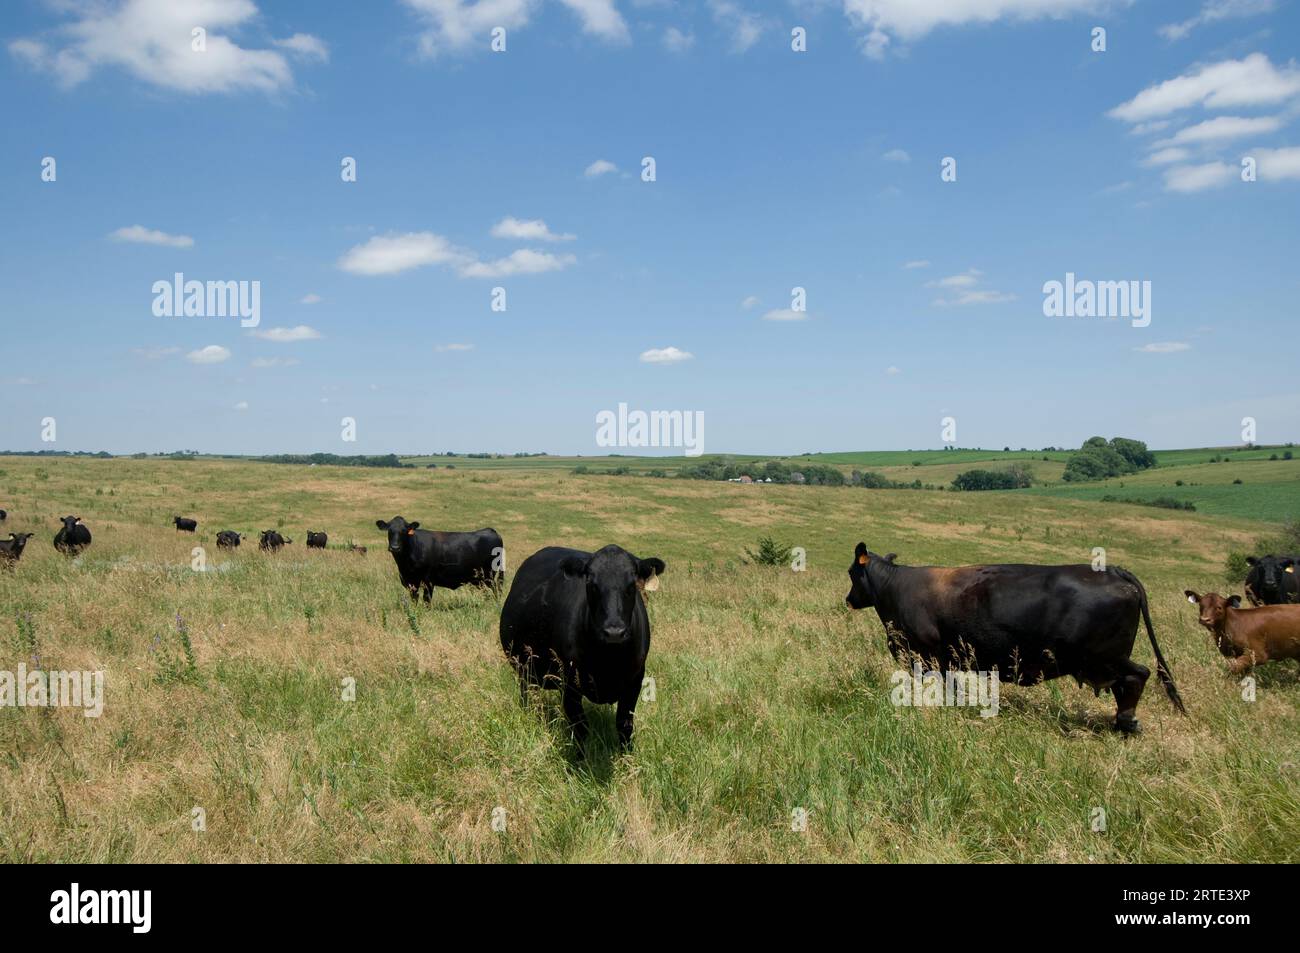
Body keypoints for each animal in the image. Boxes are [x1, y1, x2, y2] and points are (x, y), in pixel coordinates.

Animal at [374, 516, 503, 603]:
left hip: (489, 575)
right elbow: (414, 600)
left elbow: (426, 600)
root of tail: (490, 530)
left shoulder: (428, 580)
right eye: (390, 531)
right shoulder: (410, 582)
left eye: (404, 531)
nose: (395, 547)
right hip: (480, 579)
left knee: (495, 590)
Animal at [499, 545, 665, 752]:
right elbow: (580, 728)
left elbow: (625, 725)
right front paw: (581, 759)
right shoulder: (570, 683)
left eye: (631, 584)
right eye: (591, 584)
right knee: (529, 695)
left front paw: (627, 757)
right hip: (524, 668)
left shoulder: (635, 680)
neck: (609, 660)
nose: (614, 632)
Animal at [845, 544, 1185, 733]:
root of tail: (1114, 571)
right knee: (1126, 683)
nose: (848, 599)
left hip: (1106, 657)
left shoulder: (928, 654)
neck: (896, 587)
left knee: (1137, 675)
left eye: (851, 573)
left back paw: (1126, 723)